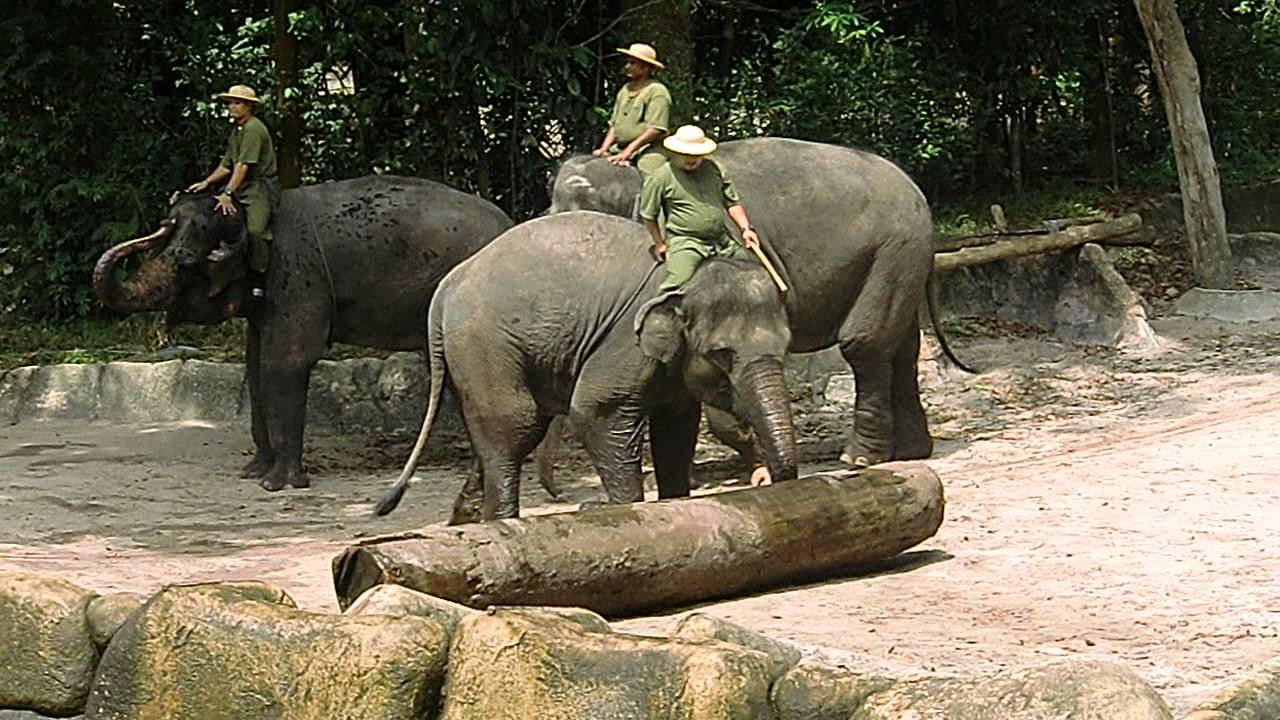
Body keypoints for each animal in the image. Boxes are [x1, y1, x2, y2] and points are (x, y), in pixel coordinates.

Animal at [93, 176, 513, 491]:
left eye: (186, 261)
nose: (162, 221)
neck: (252, 214)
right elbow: (255, 363)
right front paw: (252, 473)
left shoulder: (297, 277)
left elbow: (286, 361)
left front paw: (277, 485)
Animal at [375, 211, 798, 522]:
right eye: (722, 354)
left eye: (786, 347)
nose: (766, 479)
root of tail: (447, 286)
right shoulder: (625, 343)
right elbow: (595, 413)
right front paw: (617, 508)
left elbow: (676, 427)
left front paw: (675, 502)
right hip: (484, 346)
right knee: (514, 427)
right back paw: (500, 521)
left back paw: (466, 521)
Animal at [547, 138, 971, 468]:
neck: (640, 175)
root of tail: (917, 192)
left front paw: (755, 456)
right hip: (900, 259)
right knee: (902, 348)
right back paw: (912, 452)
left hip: (893, 252)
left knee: (865, 345)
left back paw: (860, 458)